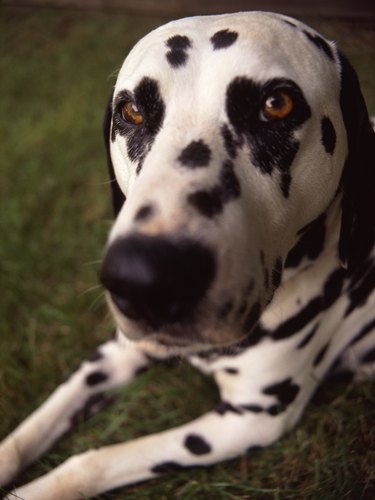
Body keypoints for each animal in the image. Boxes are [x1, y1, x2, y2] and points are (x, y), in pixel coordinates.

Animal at [0, 11, 375, 500]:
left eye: (276, 104)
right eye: (132, 112)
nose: (145, 278)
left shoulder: (252, 420)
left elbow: (91, 461)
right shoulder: (114, 355)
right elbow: (24, 434)